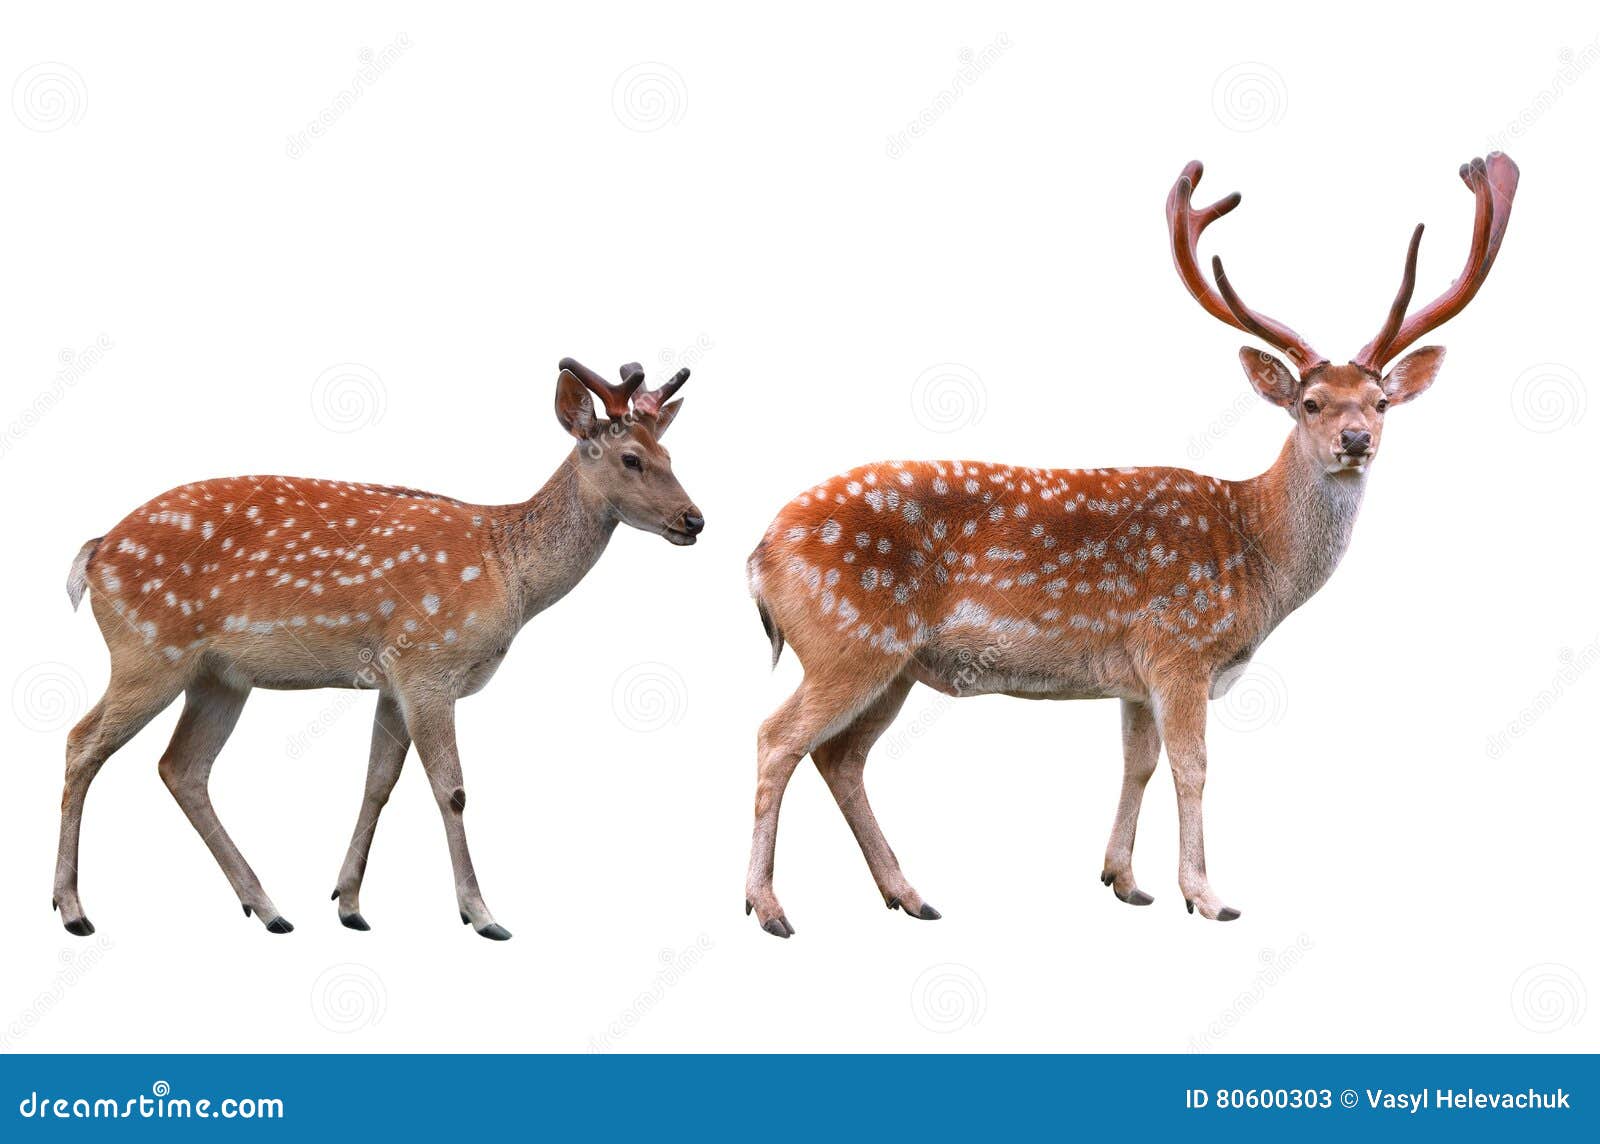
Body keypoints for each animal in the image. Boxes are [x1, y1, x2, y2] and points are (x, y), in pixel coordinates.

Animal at [55, 358, 702, 940]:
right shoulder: (430, 662)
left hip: (219, 677)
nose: (693, 519)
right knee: (82, 742)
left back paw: (267, 907)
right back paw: (73, 909)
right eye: (632, 458)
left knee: (182, 767)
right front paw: (481, 914)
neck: (508, 571)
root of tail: (95, 552)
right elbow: (452, 788)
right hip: (147, 651)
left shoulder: (394, 680)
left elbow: (378, 783)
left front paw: (349, 904)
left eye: (672, 457)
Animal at [744, 153, 1518, 936]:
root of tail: (759, 553)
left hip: (894, 664)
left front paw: (1125, 879)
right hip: (848, 638)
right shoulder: (1180, 647)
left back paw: (907, 893)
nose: (1355, 440)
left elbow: (1136, 764)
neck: (1253, 550)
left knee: (840, 758)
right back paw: (769, 906)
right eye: (1310, 403)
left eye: (1382, 402)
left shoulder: (1134, 674)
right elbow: (1192, 767)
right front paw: (1207, 895)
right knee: (778, 739)